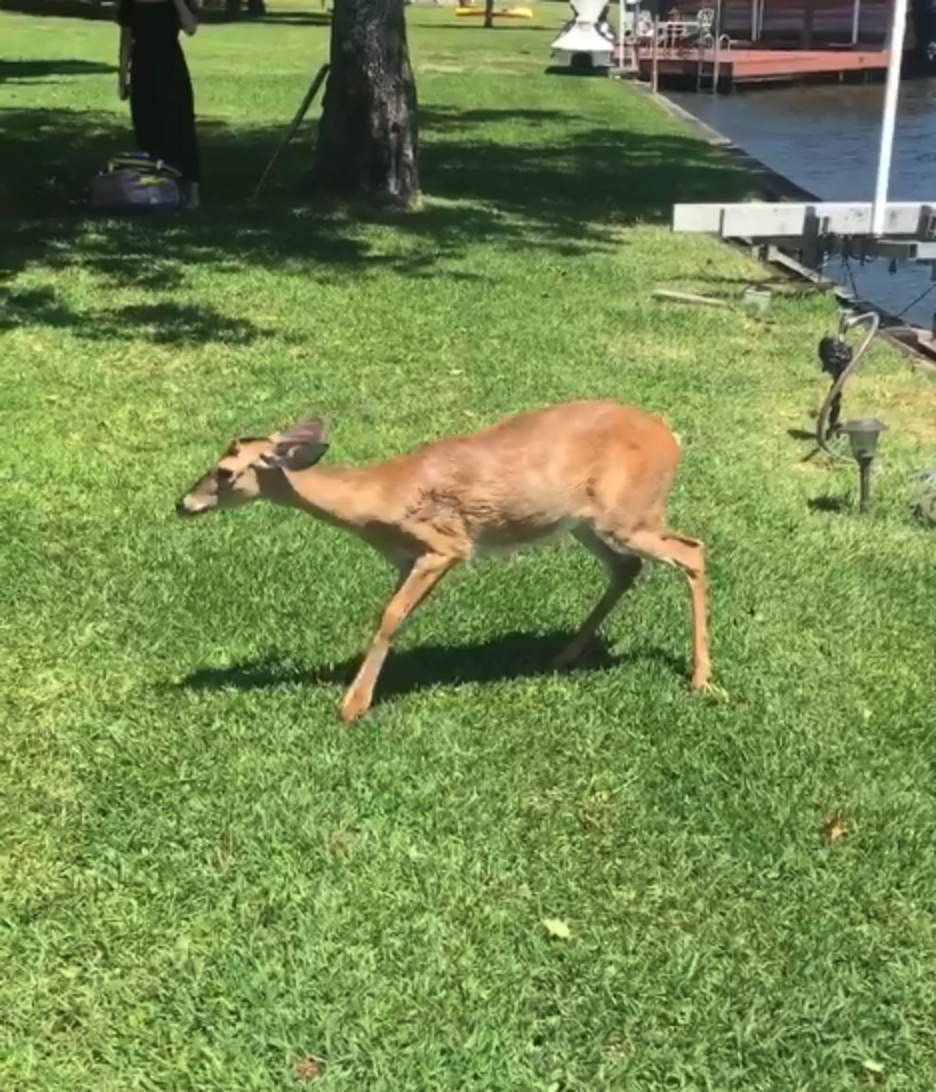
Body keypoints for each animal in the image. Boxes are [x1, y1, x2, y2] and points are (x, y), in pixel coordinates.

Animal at [176, 399, 711, 722]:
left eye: (224, 472)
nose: (183, 504)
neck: (377, 496)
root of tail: (673, 439)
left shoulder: (446, 545)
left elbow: (391, 616)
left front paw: (353, 706)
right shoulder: (406, 559)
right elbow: (391, 616)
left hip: (630, 514)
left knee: (693, 551)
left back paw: (701, 679)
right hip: (588, 522)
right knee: (628, 568)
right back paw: (565, 654)